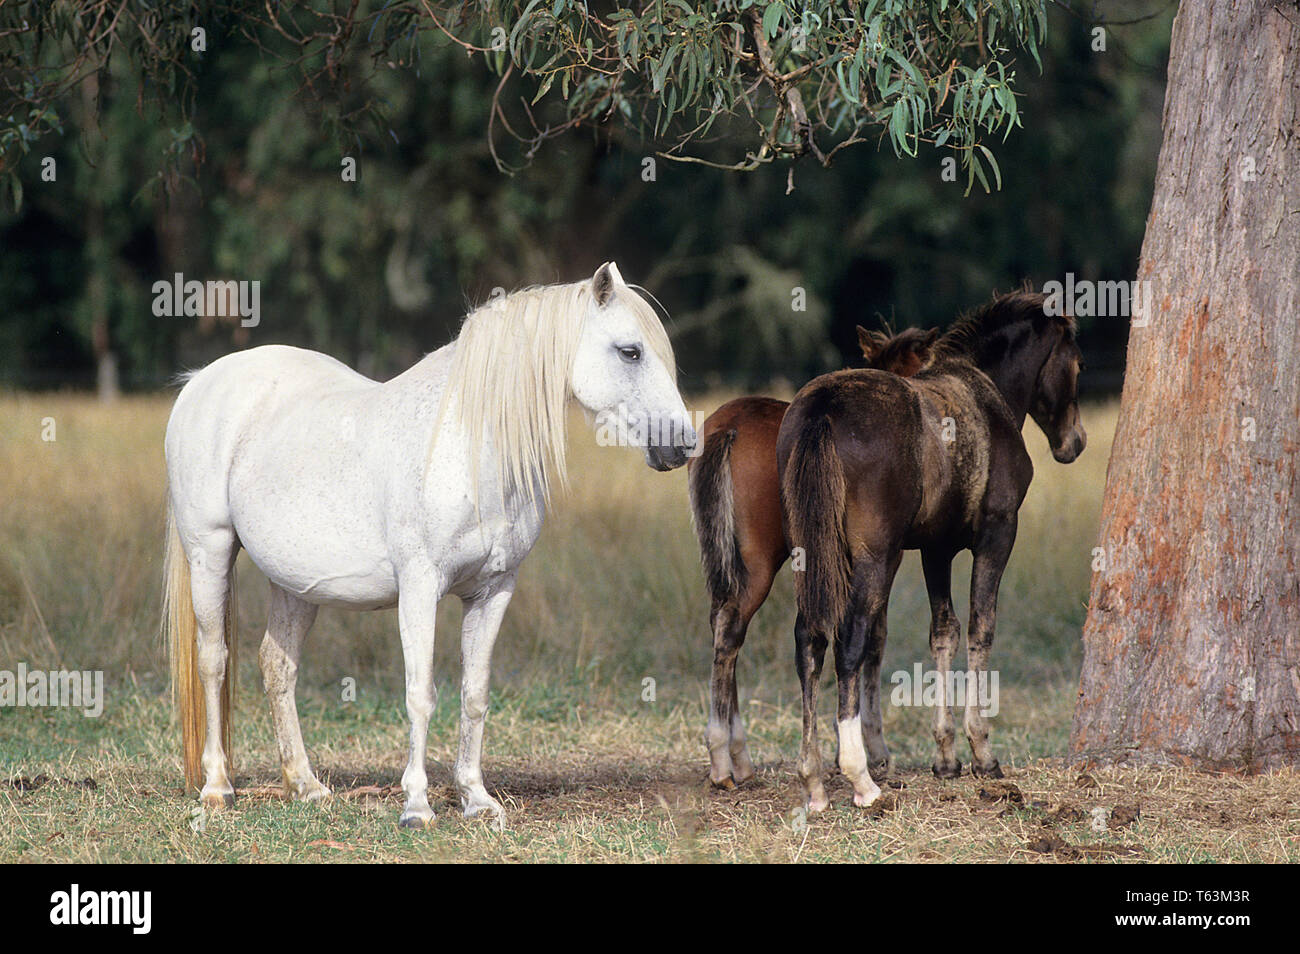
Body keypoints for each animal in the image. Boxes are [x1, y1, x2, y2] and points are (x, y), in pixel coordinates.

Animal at [163, 262, 696, 828]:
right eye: (630, 351)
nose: (682, 444)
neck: (469, 447)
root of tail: (201, 381)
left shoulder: (493, 590)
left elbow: (474, 694)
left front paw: (476, 799)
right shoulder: (420, 588)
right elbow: (420, 694)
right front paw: (416, 807)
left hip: (295, 584)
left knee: (277, 667)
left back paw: (306, 786)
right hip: (210, 554)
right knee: (213, 661)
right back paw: (217, 788)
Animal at [688, 326, 938, 788]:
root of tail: (728, 428)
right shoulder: (880, 560)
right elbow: (871, 639)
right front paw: (872, 752)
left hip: (727, 559)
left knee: (721, 627)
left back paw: (737, 757)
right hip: (761, 564)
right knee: (730, 630)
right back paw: (724, 761)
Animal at [776, 291, 1086, 812]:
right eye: (1077, 364)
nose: (1074, 442)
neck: (987, 393)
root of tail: (823, 407)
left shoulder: (935, 548)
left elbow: (943, 632)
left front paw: (945, 757)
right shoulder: (998, 532)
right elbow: (981, 627)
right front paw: (982, 752)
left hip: (815, 554)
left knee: (809, 640)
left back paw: (813, 780)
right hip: (874, 557)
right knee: (849, 641)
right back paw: (860, 778)